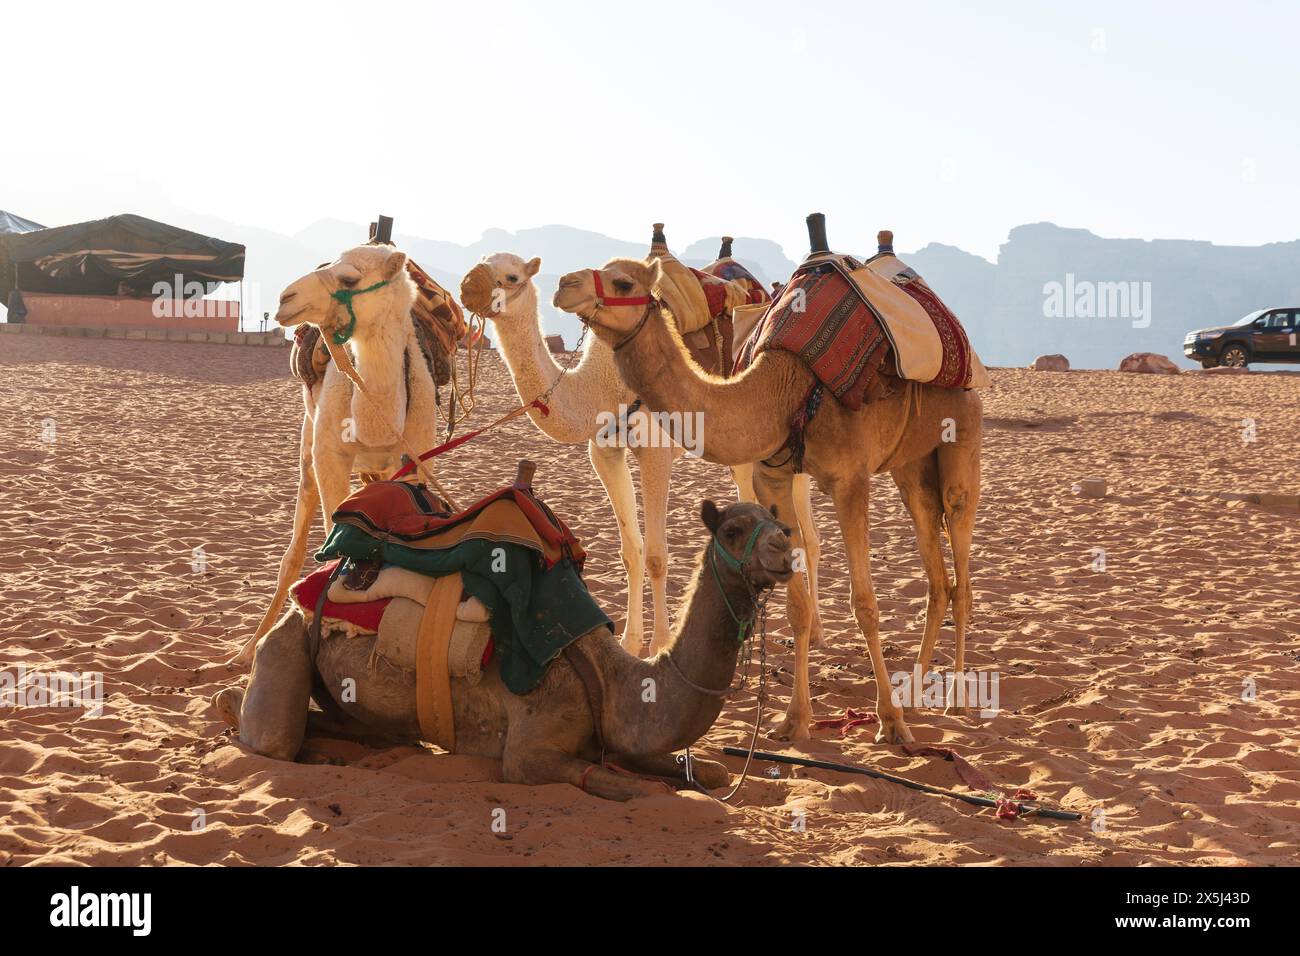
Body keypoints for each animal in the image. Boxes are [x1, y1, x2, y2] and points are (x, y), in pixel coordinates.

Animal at [212, 500, 794, 801]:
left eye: (782, 525)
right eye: (733, 529)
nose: (784, 549)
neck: (611, 679)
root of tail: (312, 588)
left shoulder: (619, 738)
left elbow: (710, 772)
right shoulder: (529, 752)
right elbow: (641, 791)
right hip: (288, 641)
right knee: (267, 734)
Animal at [231, 244, 442, 666]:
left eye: (349, 278)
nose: (285, 298)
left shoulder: (416, 459)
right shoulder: (329, 455)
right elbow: (333, 529)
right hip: (308, 448)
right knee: (292, 554)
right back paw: (247, 650)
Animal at [553, 256, 983, 745]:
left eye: (623, 281)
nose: (564, 284)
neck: (782, 386)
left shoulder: (850, 480)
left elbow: (865, 605)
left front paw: (890, 723)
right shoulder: (772, 477)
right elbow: (797, 608)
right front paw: (795, 720)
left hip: (962, 439)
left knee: (961, 567)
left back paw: (955, 698)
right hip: (911, 467)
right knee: (937, 576)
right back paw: (914, 687)